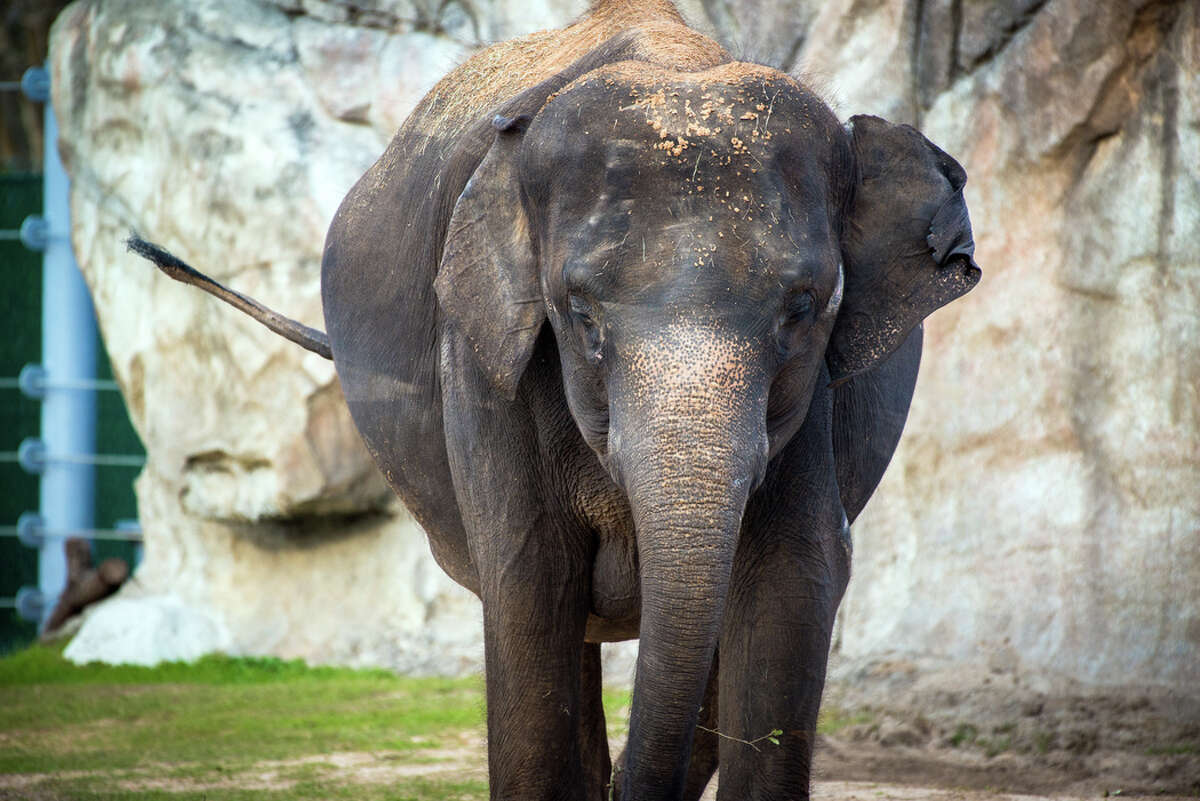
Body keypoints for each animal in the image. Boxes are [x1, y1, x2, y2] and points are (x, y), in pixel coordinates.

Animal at [131, 0, 980, 798]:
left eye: (803, 307)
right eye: (580, 312)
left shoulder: (814, 405)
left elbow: (788, 579)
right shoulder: (481, 352)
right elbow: (529, 579)